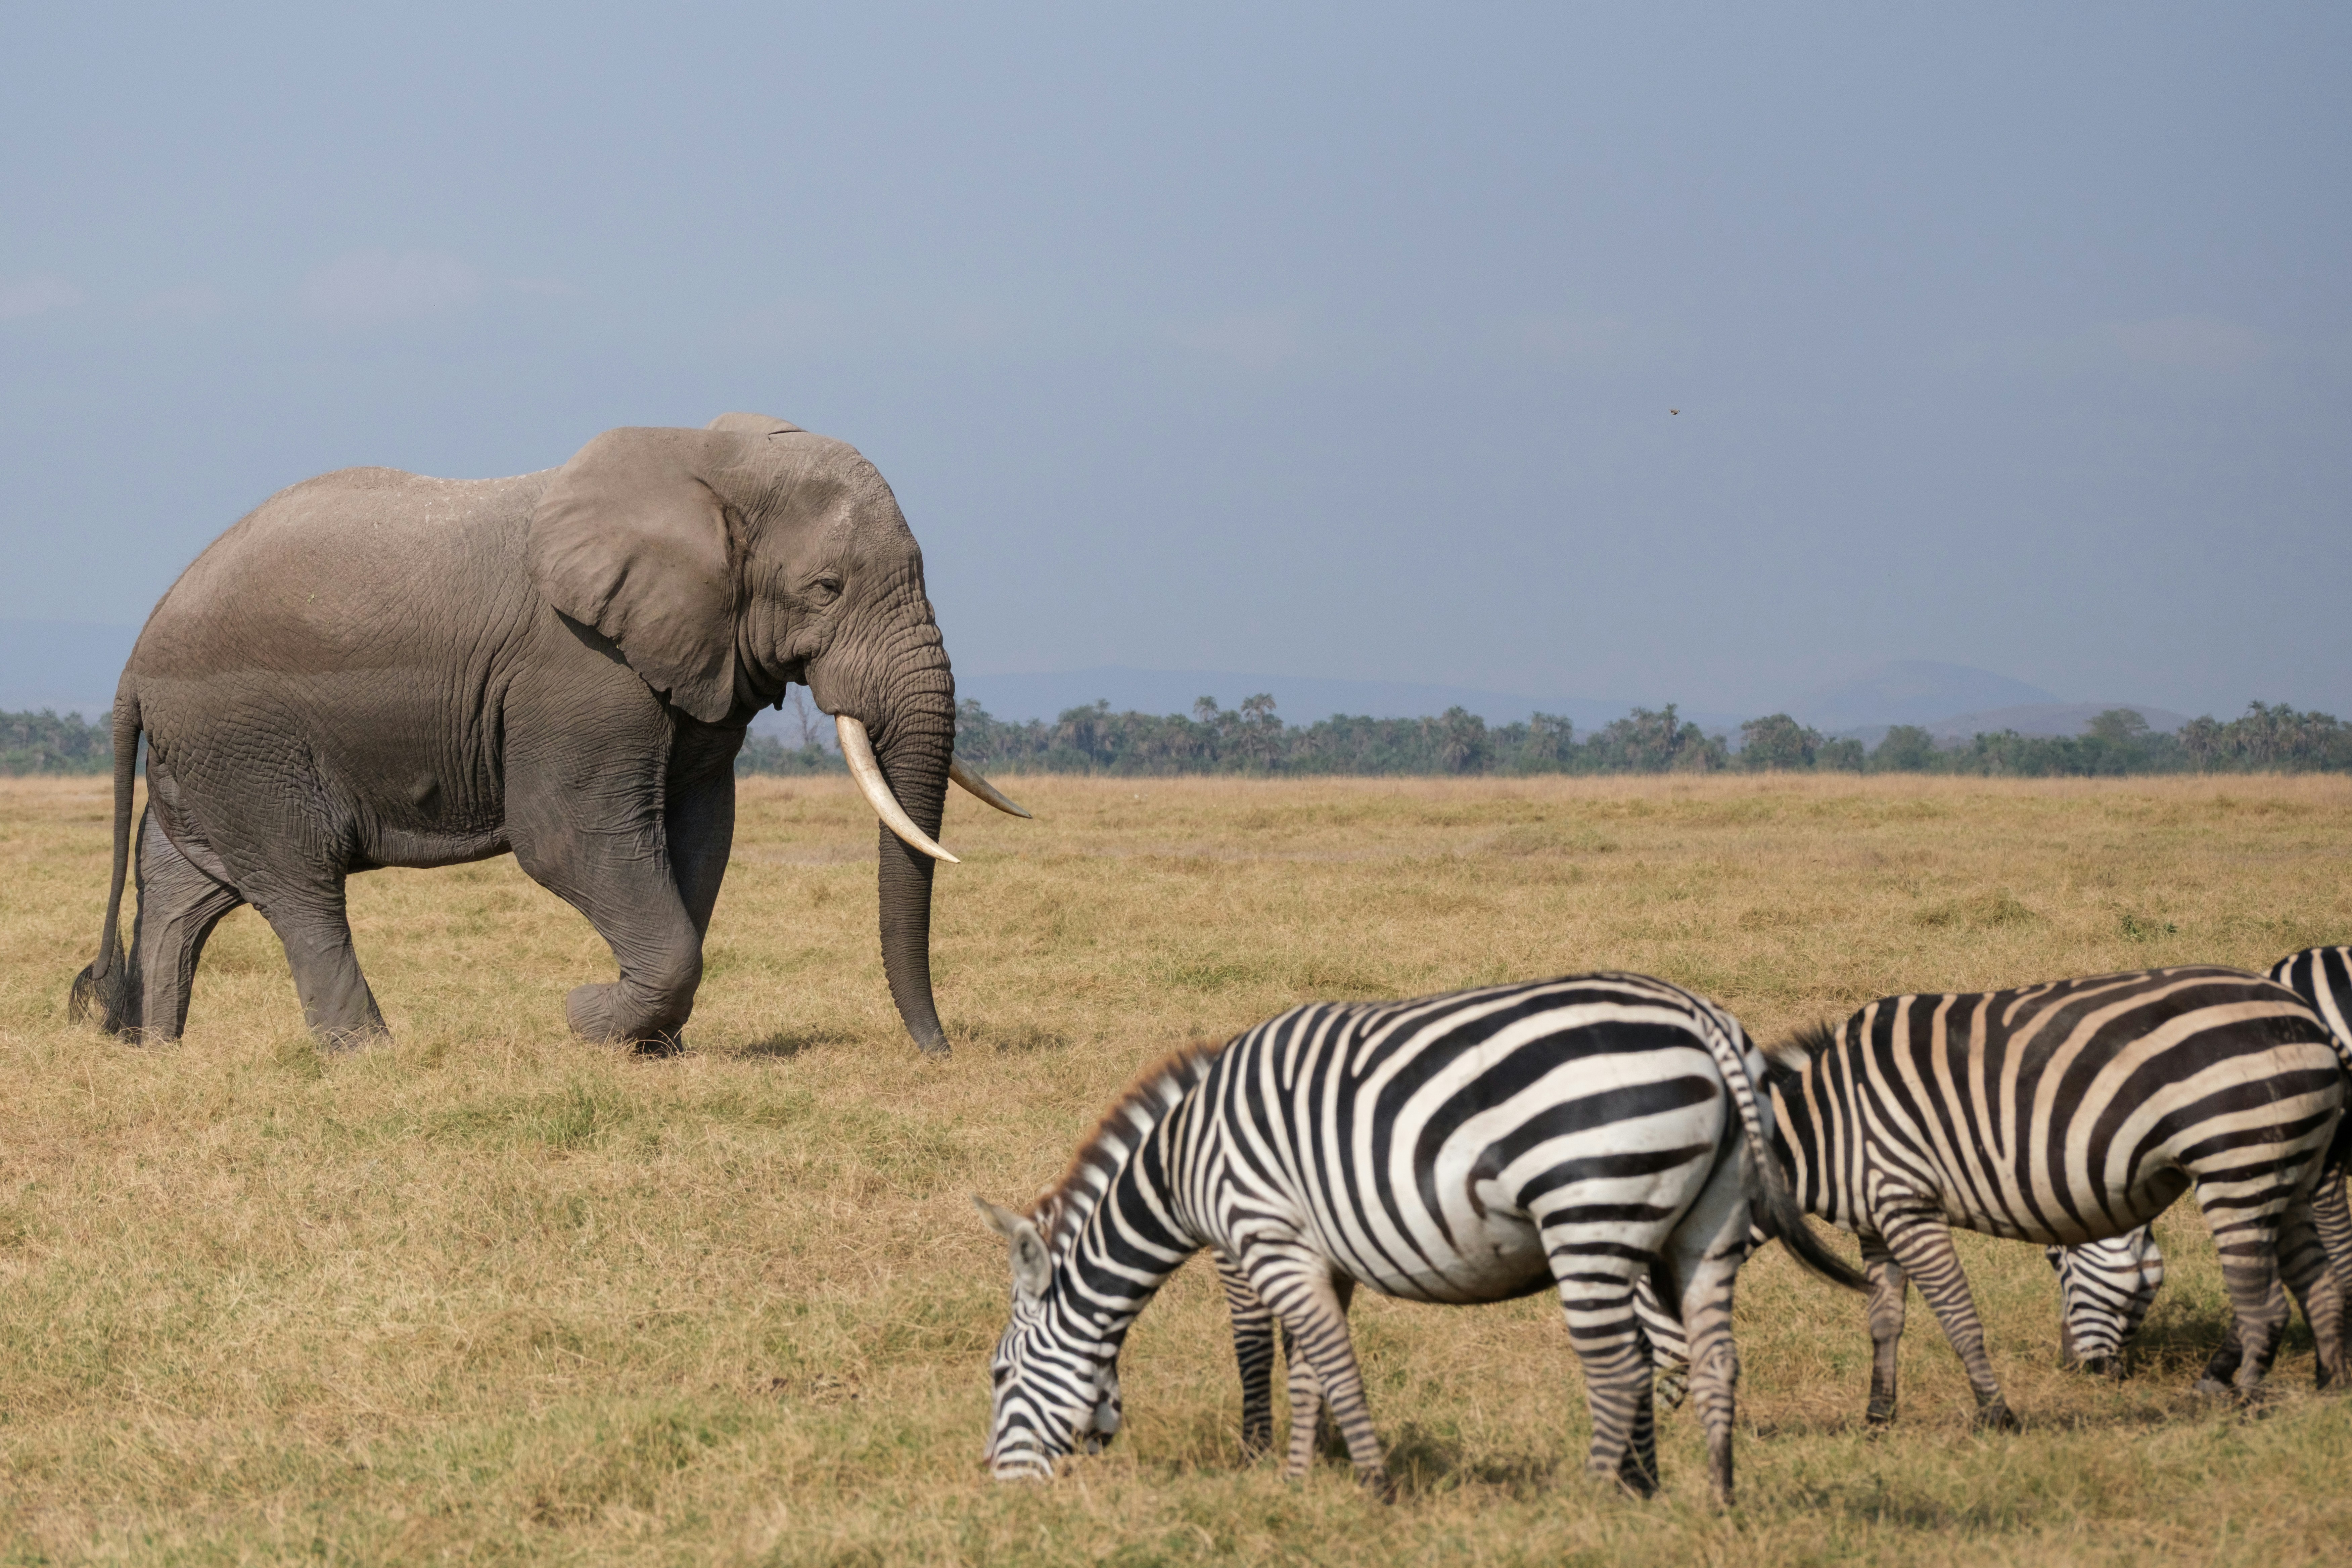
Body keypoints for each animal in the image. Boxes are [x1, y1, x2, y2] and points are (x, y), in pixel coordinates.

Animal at [69, 412, 1026, 1054]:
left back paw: (158, 1050)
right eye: (827, 588)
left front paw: (652, 1050)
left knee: (191, 883)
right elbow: (568, 837)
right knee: (300, 882)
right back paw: (370, 1056)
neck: (705, 459)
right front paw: (586, 1018)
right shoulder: (578, 669)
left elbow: (700, 838)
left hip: (212, 748)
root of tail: (139, 651)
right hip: (247, 735)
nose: (939, 1051)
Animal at [974, 974, 1865, 1504]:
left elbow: (1322, 1361)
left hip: (1590, 1213)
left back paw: (1590, 1501)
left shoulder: (1266, 1234)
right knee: (1714, 1358)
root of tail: (1703, 1019)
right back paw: (1711, 1501)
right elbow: (1310, 1369)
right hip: (1705, 1226)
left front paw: (1368, 1486)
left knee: (1618, 1365)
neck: (1180, 1160)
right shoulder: (1317, 1256)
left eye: (997, 1375)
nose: (992, 1486)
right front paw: (1300, 1480)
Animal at [1753, 965, 2345, 1429]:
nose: (2077, 1368)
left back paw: (2243, 1407)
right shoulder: (1878, 1219)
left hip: (2237, 1164)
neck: (1826, 1128)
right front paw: (1878, 1417)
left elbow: (1956, 1313)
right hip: (2291, 1171)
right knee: (2317, 1283)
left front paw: (1996, 1415)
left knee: (2264, 1304)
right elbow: (1883, 1321)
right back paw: (2331, 1389)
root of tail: (2309, 1018)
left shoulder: (1907, 1202)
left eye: (2054, 1259)